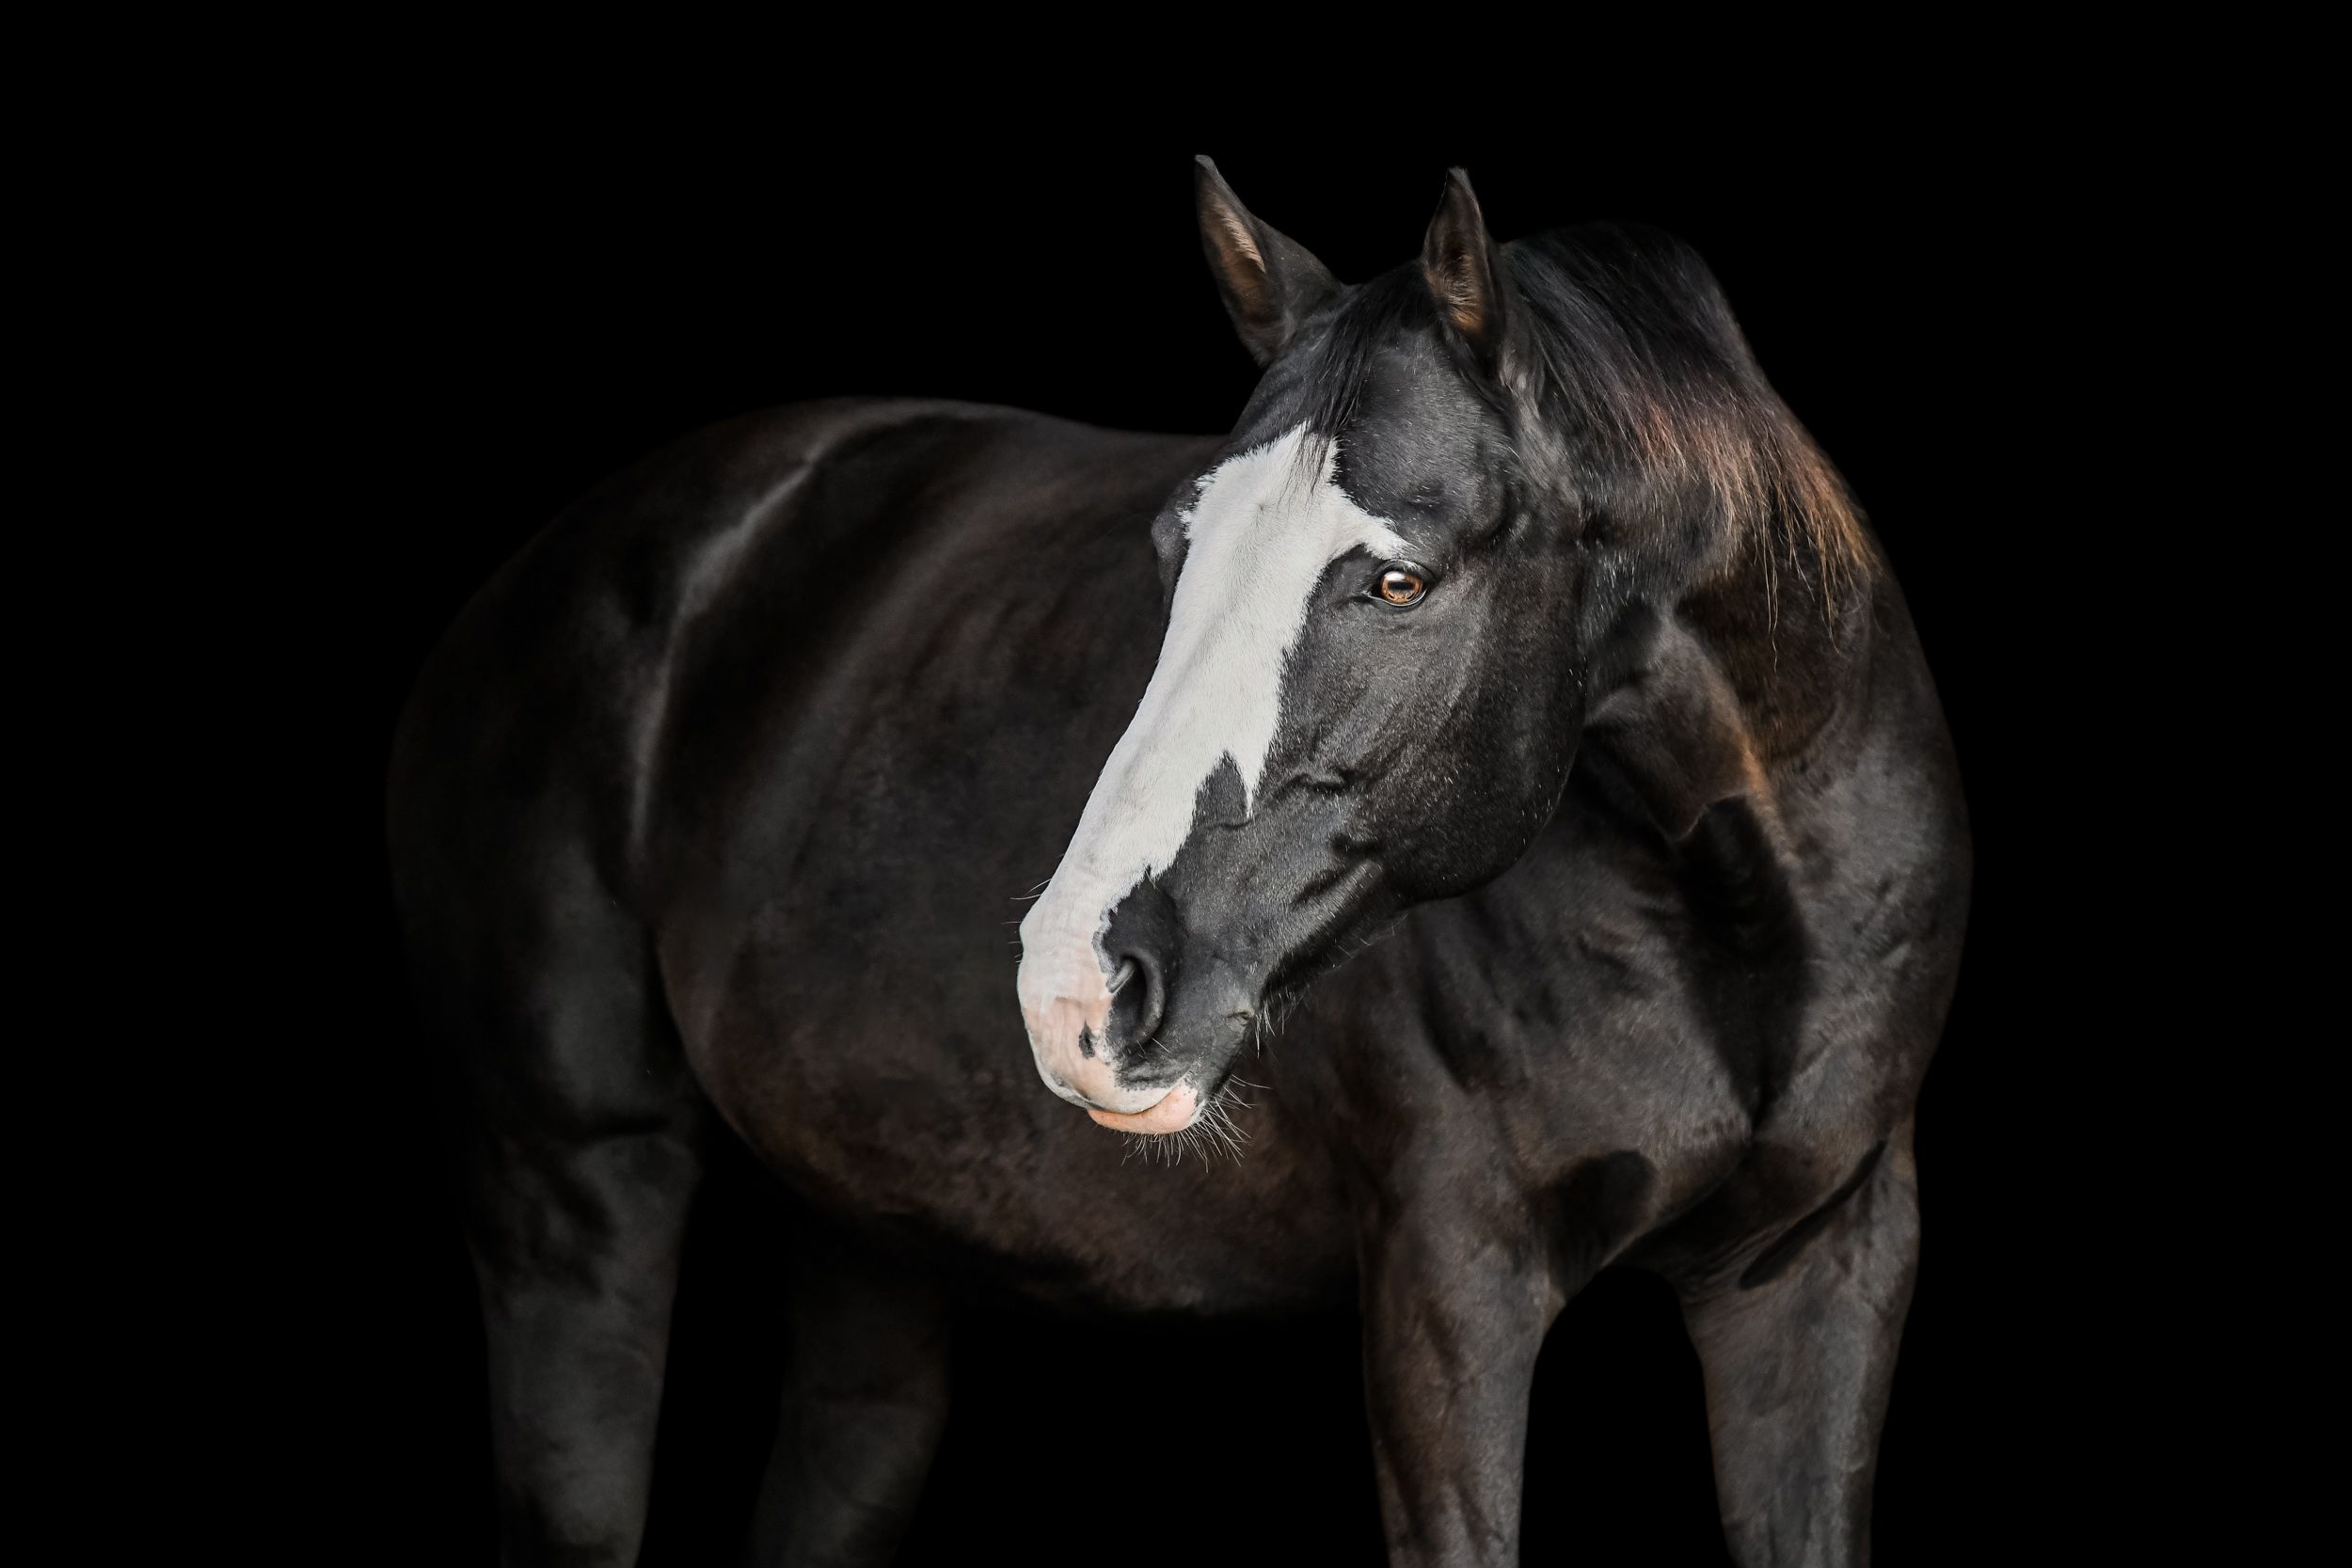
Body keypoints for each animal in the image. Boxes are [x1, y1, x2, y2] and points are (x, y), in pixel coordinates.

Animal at [387, 159, 1969, 1567]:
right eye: (1174, 549)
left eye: (1398, 577)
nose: (1076, 990)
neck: (1746, 920)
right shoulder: (1450, 1287)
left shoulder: (1823, 1274)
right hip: (573, 1198)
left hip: (867, 1263)